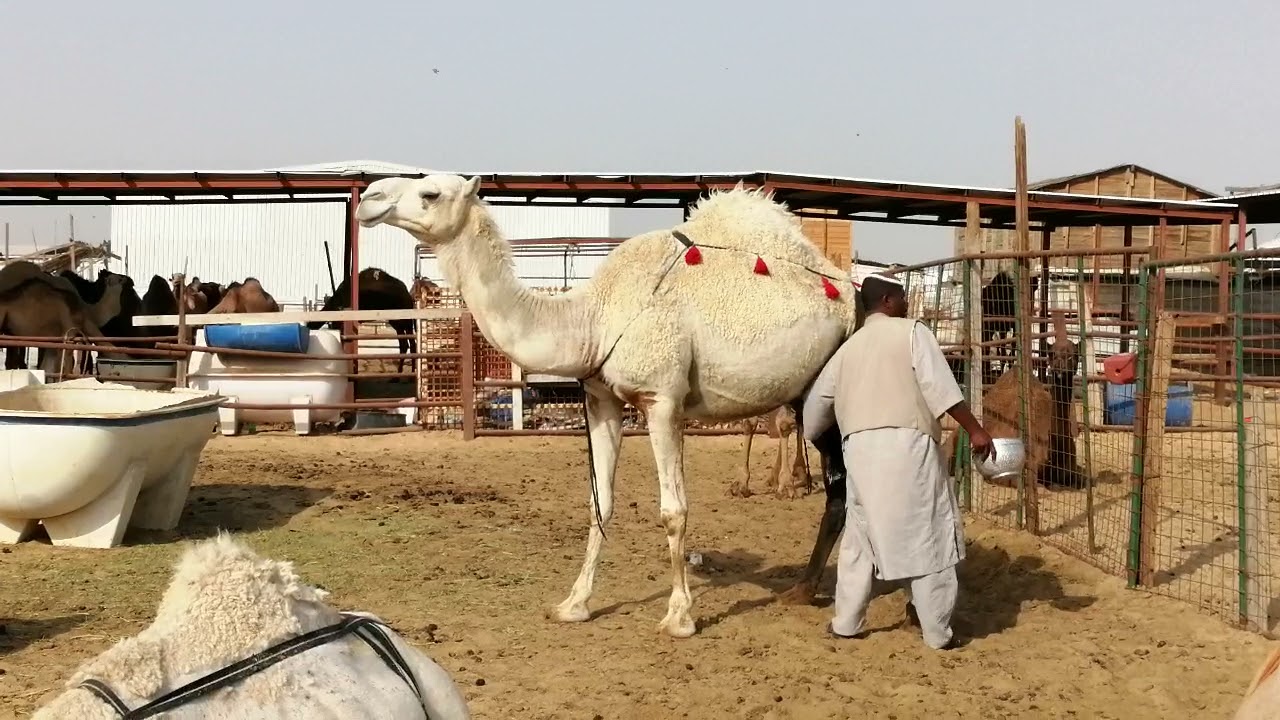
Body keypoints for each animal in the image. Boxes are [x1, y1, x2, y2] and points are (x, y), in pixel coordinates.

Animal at [356, 174, 859, 638]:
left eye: (431, 193)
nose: (368, 198)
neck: (592, 318)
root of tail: (849, 290)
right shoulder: (602, 401)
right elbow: (601, 502)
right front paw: (573, 604)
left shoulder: (661, 399)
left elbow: (673, 510)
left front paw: (679, 617)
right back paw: (803, 585)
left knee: (840, 483)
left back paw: (808, 581)